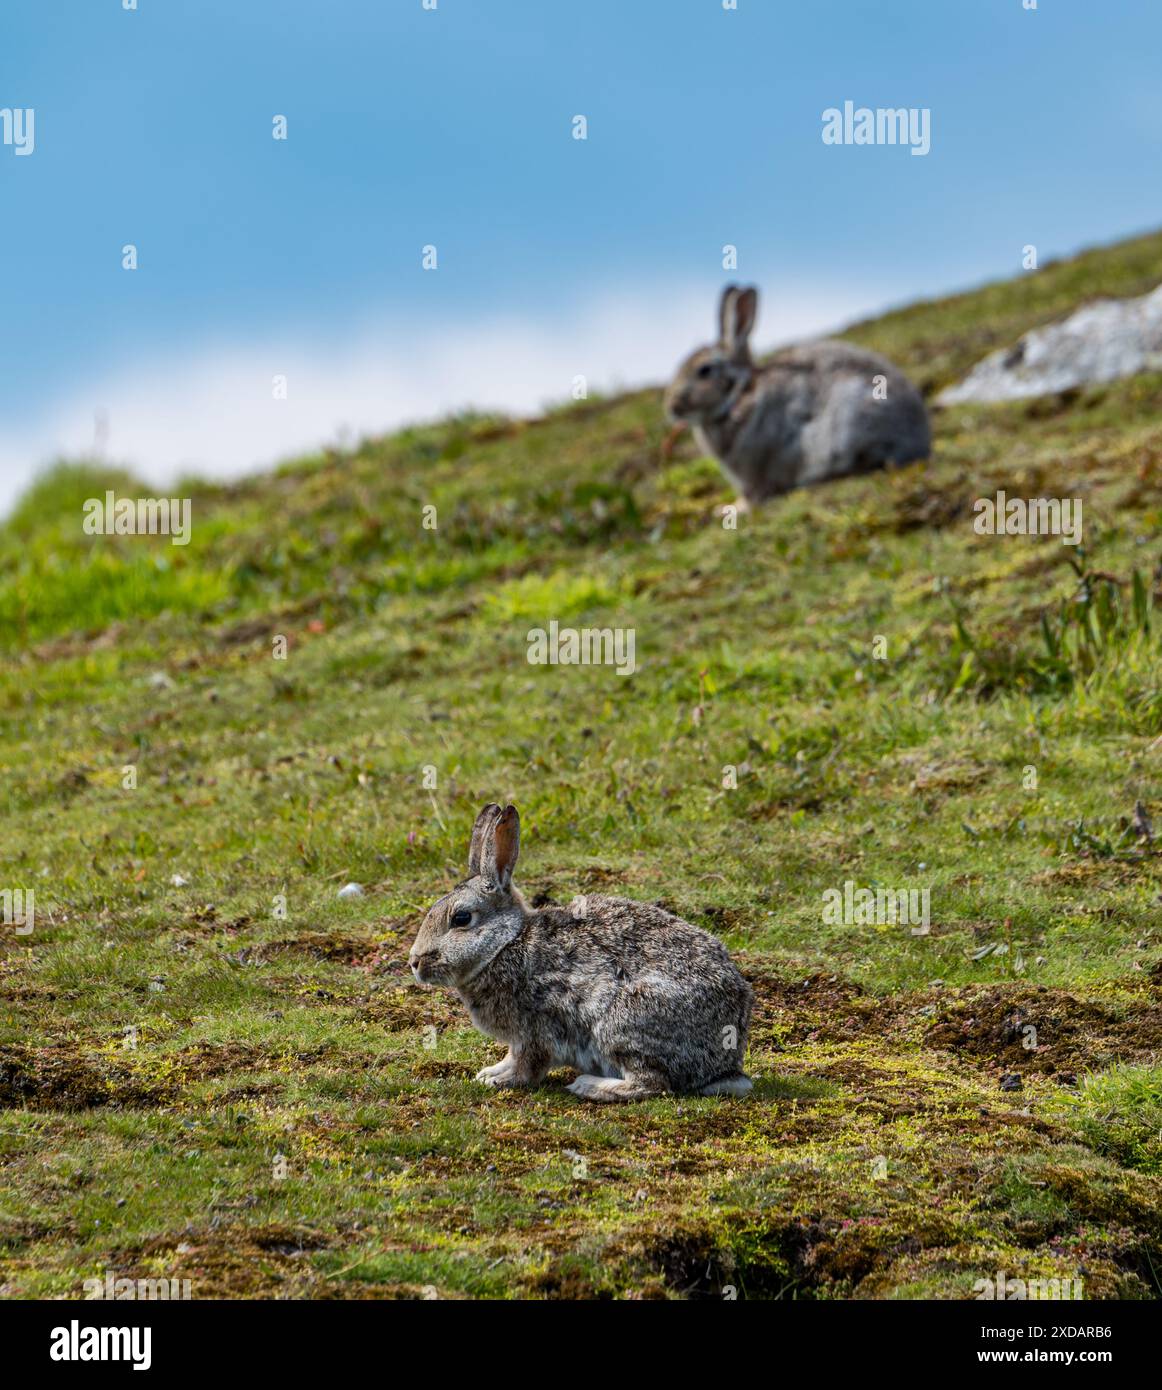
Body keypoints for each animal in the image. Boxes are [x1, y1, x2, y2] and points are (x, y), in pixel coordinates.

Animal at [408, 803, 754, 1103]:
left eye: (461, 918)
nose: (414, 961)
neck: (505, 944)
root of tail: (725, 1063)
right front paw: (490, 1072)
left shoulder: (536, 1029)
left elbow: (527, 1065)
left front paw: (500, 1080)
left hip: (622, 1023)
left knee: (653, 1083)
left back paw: (588, 1085)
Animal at [664, 284, 931, 508]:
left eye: (704, 371)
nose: (672, 407)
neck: (739, 396)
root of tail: (921, 439)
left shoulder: (756, 469)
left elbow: (755, 493)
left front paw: (735, 508)